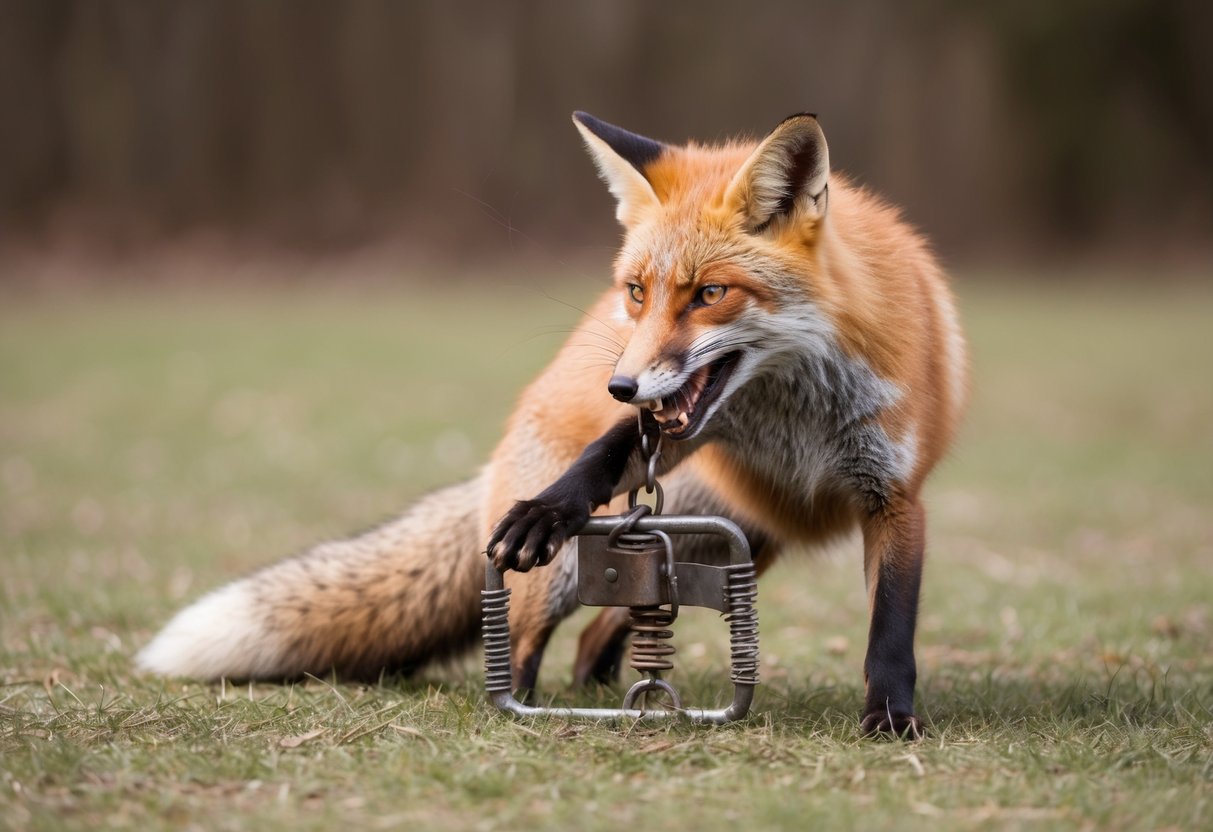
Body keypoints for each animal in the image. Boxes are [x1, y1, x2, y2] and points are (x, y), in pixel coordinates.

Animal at [138, 111, 967, 736]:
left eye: (709, 294)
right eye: (637, 292)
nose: (620, 384)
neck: (794, 412)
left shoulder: (893, 496)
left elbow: (891, 627)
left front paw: (890, 721)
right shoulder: (659, 433)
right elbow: (599, 460)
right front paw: (549, 508)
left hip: (726, 543)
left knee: (607, 630)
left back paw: (613, 694)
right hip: (582, 569)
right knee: (530, 642)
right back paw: (538, 702)